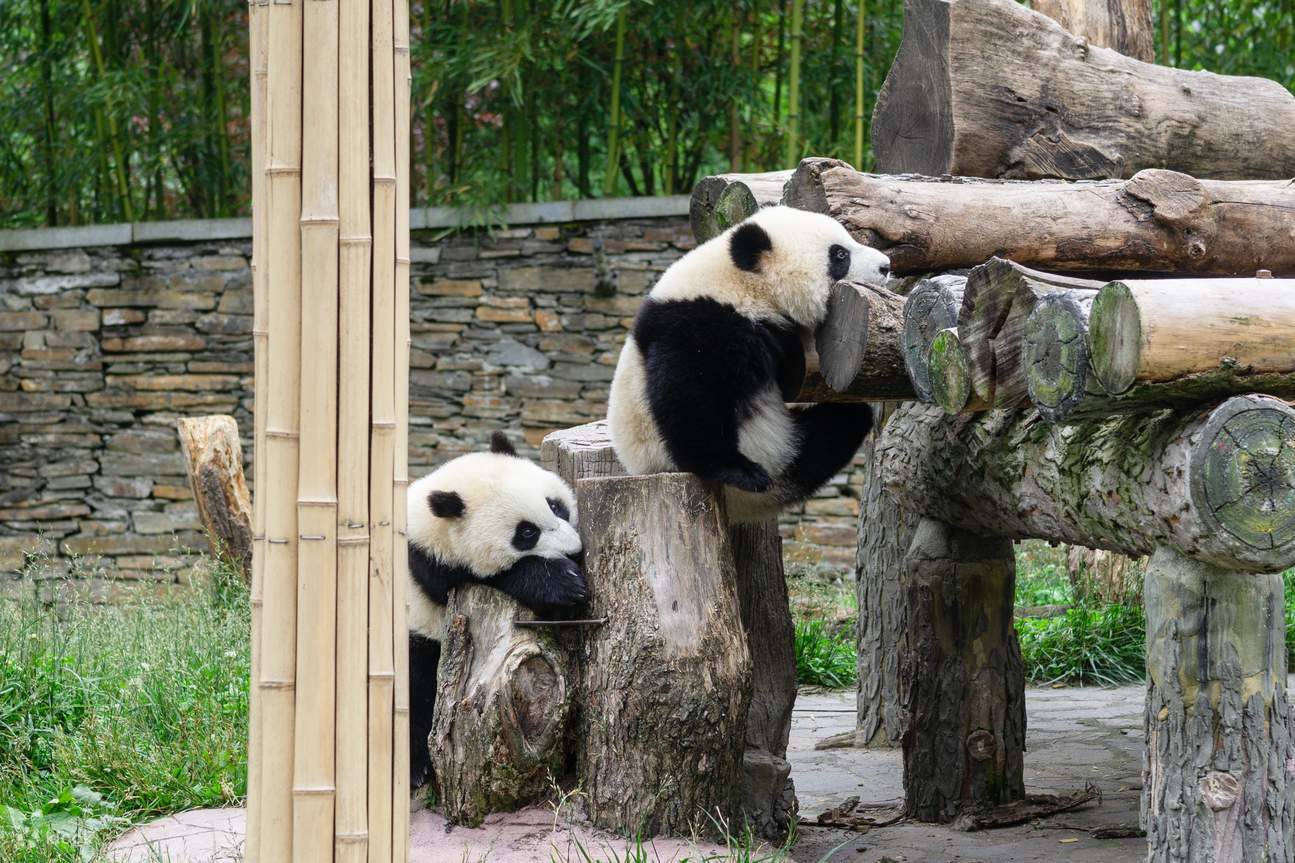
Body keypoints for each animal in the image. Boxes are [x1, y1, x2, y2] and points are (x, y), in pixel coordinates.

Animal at [405, 431, 586, 788]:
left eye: (555, 505)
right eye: (526, 533)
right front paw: (562, 583)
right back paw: (416, 769)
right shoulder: (431, 566)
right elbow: (494, 576)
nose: (575, 551)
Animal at [607, 205, 891, 522]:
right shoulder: (700, 324)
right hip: (766, 451)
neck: (743, 283)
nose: (886, 266)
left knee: (841, 423)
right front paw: (737, 470)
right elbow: (690, 394)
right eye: (839, 254)